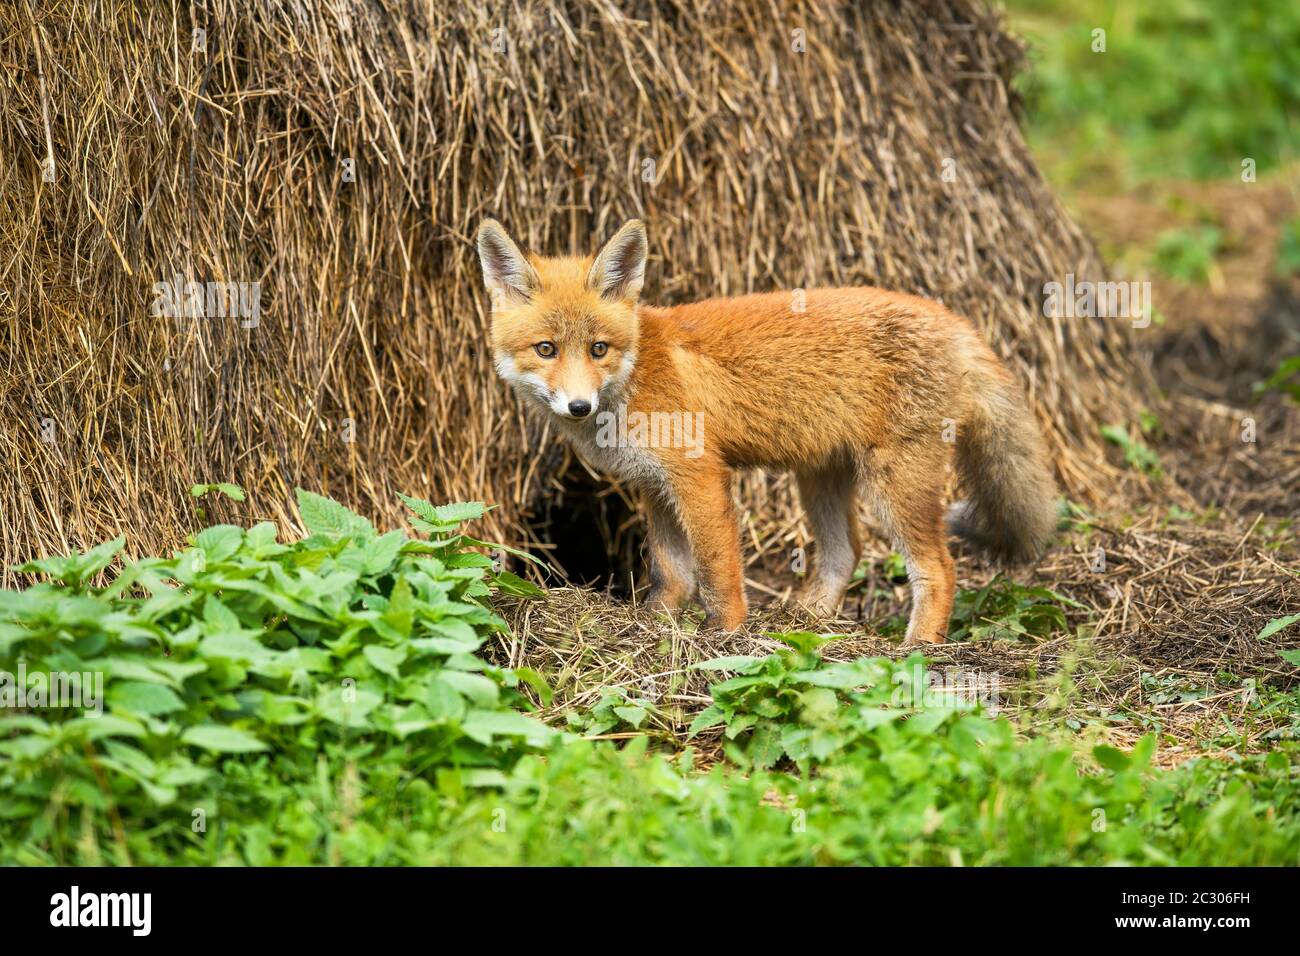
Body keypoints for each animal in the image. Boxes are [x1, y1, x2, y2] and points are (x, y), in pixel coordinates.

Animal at [476, 218, 1058, 645]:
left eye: (598, 349)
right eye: (546, 349)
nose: (579, 406)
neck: (637, 374)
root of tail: (953, 320)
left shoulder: (700, 476)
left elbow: (716, 570)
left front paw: (727, 636)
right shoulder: (655, 486)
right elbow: (672, 574)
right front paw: (654, 626)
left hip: (894, 484)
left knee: (938, 568)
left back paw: (918, 648)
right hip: (821, 477)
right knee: (847, 552)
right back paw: (810, 621)